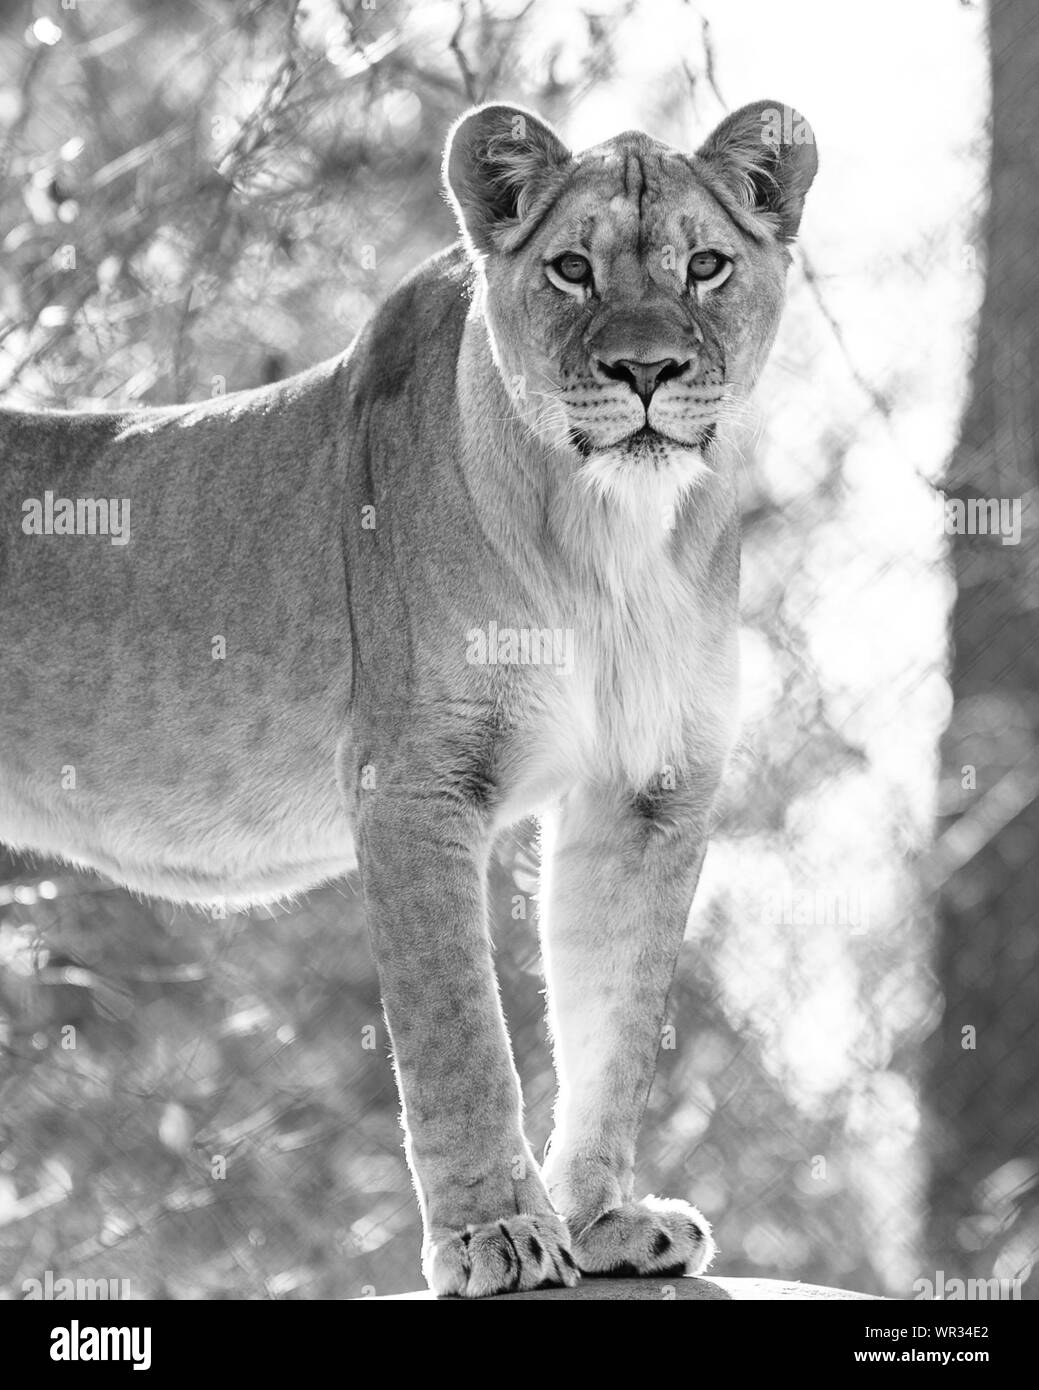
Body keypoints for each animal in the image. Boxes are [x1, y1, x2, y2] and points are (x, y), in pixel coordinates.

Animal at [0, 99, 816, 1297]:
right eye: (571, 268)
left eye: (705, 265)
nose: (647, 370)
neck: (616, 539)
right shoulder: (418, 779)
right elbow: (458, 1030)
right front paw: (495, 1233)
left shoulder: (651, 789)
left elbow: (615, 1016)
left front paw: (605, 1218)